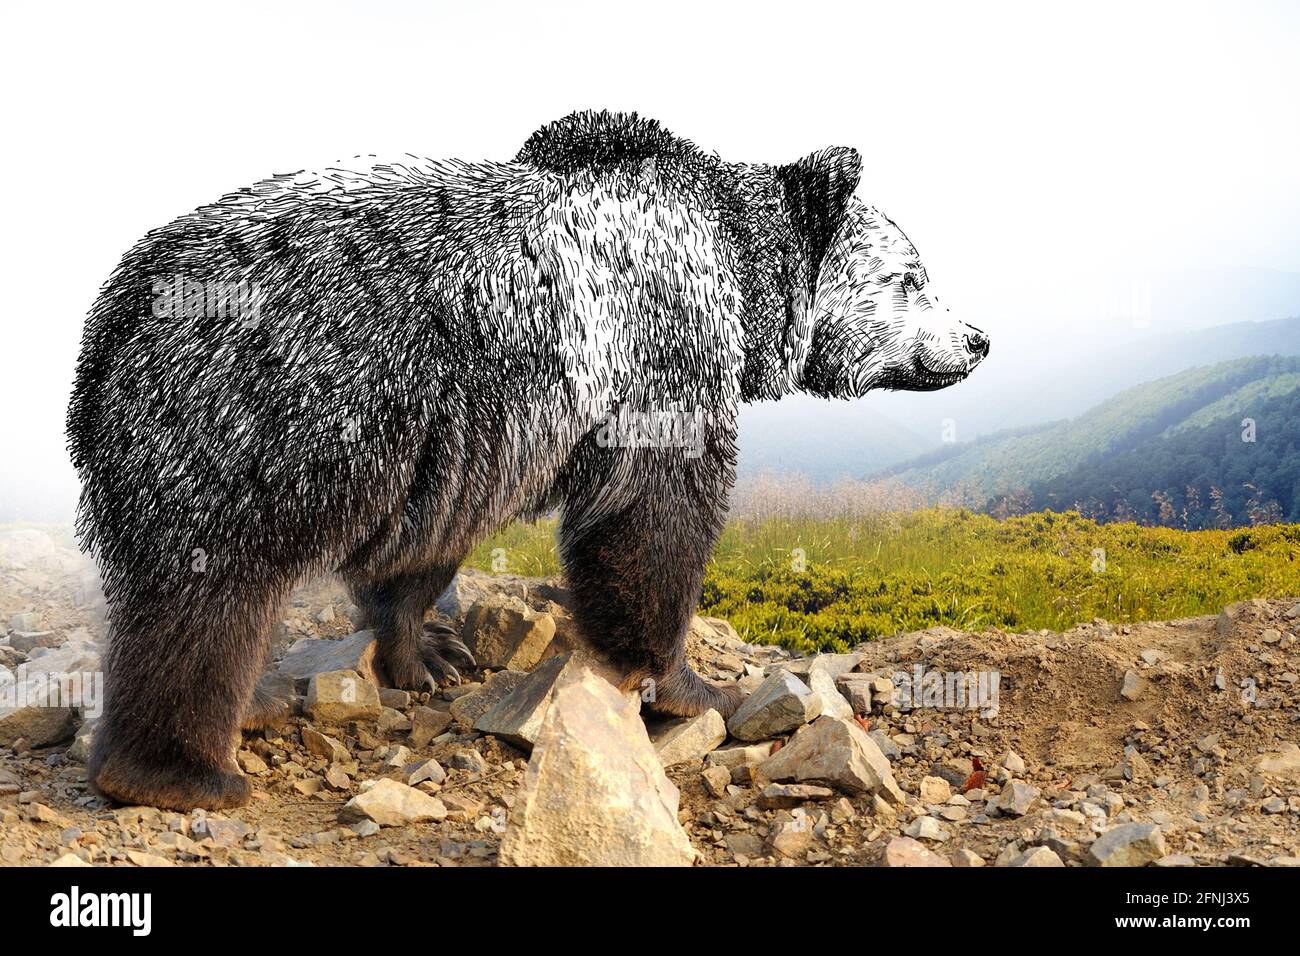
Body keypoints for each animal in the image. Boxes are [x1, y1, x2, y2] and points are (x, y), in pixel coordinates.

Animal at [67, 110, 988, 810]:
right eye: (915, 275)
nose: (977, 338)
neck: (736, 275)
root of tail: (117, 308)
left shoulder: (456, 446)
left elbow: (426, 545)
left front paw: (427, 650)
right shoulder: (657, 355)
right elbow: (654, 519)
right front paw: (694, 684)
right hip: (262, 415)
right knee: (208, 596)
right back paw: (181, 770)